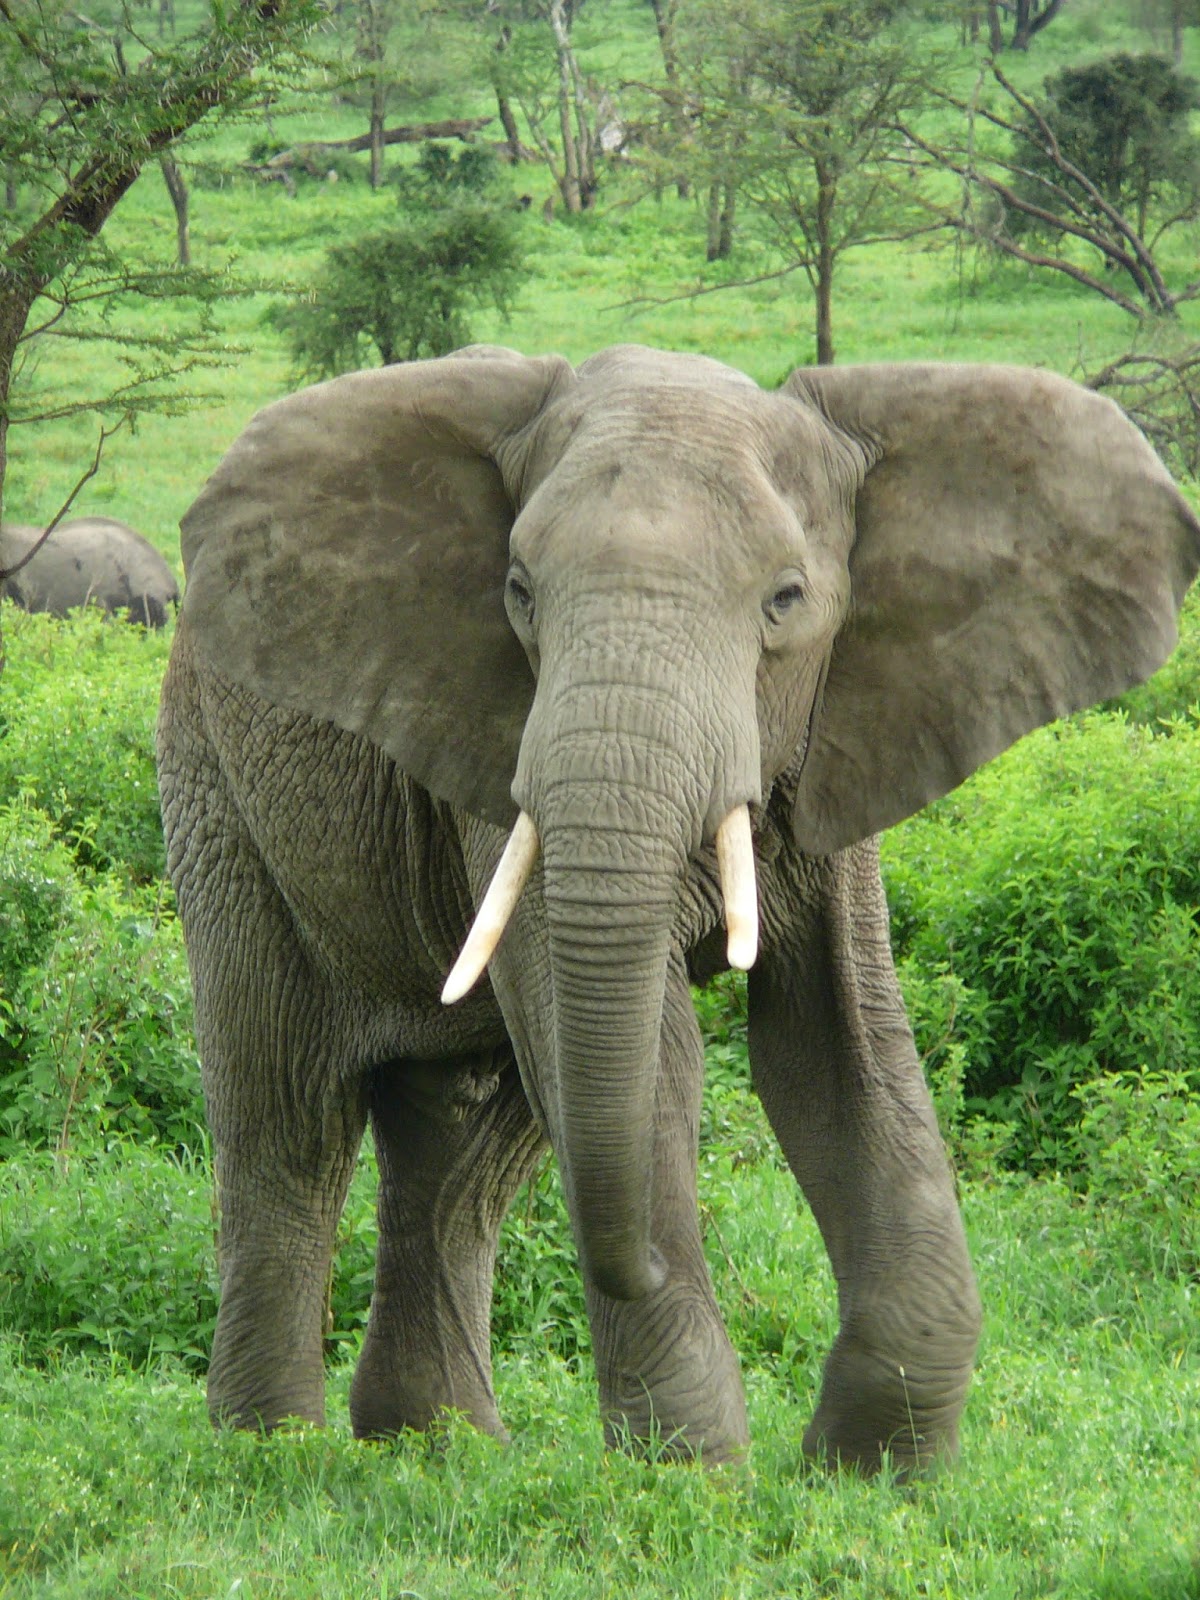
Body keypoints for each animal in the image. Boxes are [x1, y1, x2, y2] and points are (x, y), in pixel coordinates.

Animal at [155, 344, 1200, 1475]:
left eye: (786, 599)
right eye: (518, 593)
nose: (642, 1265)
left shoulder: (837, 740)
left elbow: (839, 1047)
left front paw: (868, 1474)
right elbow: (653, 1057)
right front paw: (693, 1475)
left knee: (460, 1147)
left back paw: (443, 1449)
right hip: (215, 787)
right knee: (287, 1114)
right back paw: (273, 1453)